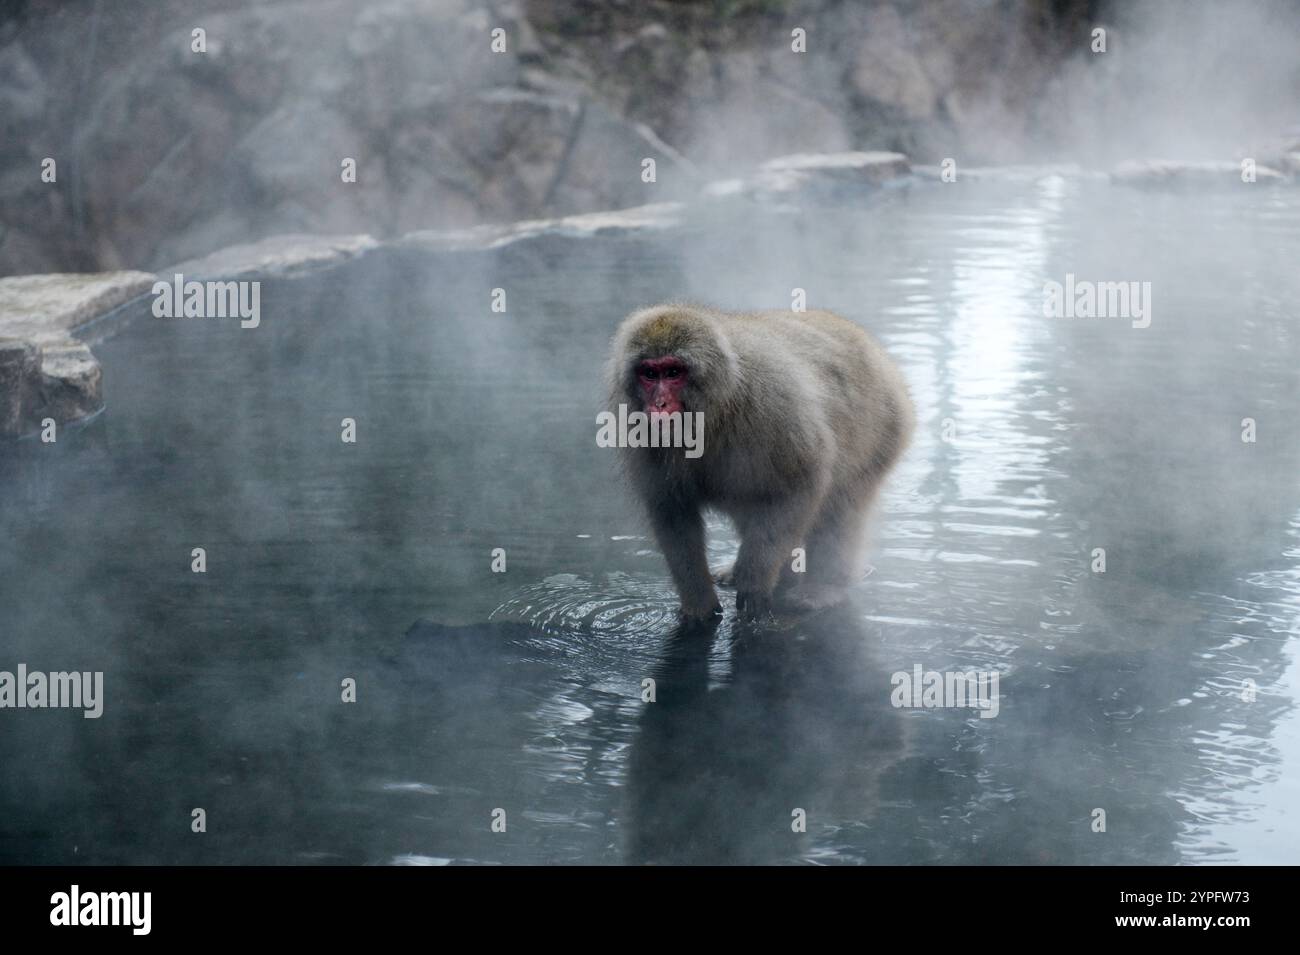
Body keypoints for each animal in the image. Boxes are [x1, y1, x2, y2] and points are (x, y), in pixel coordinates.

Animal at [607, 303, 914, 622]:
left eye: (673, 372)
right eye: (649, 373)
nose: (659, 405)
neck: (715, 411)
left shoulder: (773, 403)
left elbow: (800, 482)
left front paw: (755, 582)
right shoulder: (639, 430)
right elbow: (672, 509)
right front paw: (698, 604)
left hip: (885, 431)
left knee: (840, 506)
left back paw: (822, 587)